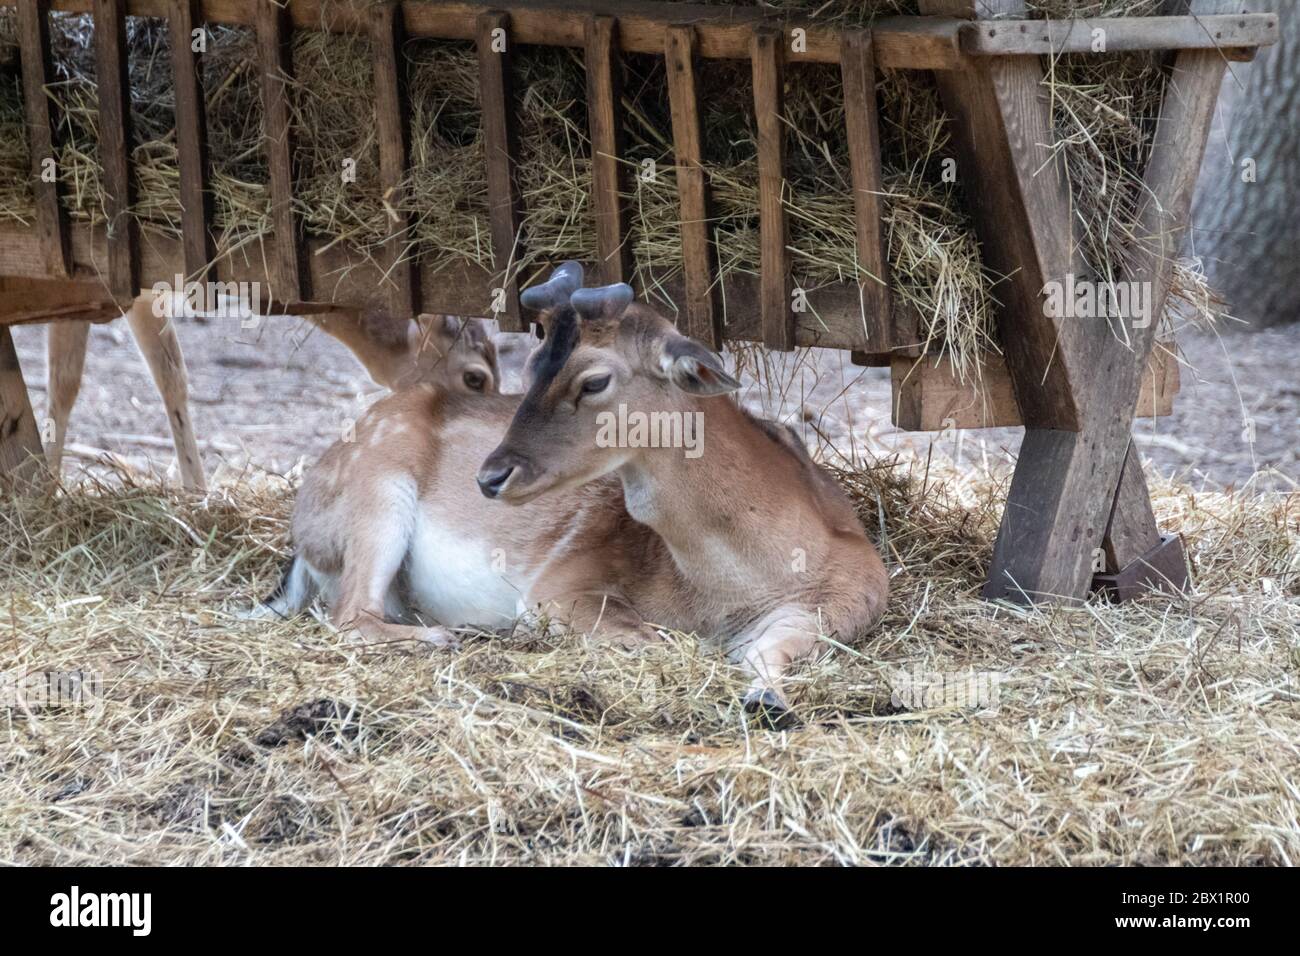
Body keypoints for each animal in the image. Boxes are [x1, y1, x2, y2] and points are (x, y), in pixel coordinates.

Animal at [256, 262, 888, 715]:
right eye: (532, 362)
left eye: (594, 379)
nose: (491, 475)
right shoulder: (559, 586)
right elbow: (656, 640)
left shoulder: (842, 605)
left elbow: (766, 651)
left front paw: (767, 700)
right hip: (378, 494)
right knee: (349, 616)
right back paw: (444, 636)